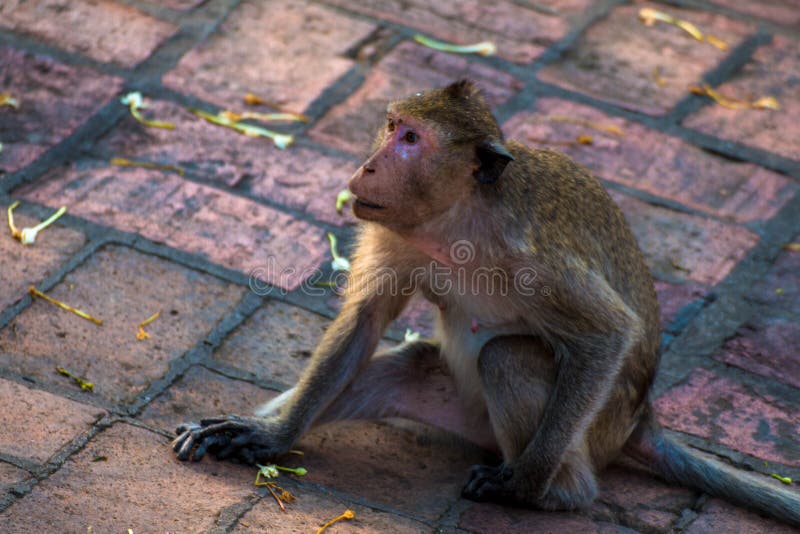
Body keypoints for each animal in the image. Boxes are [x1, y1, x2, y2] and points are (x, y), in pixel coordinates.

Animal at [172, 80, 800, 526]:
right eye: (392, 126)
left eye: (411, 140)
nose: (367, 166)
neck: (456, 218)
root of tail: (641, 417)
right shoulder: (397, 233)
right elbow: (366, 321)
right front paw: (271, 436)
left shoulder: (535, 258)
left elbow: (608, 334)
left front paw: (524, 483)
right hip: (458, 404)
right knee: (402, 368)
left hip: (594, 427)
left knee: (508, 358)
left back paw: (553, 492)